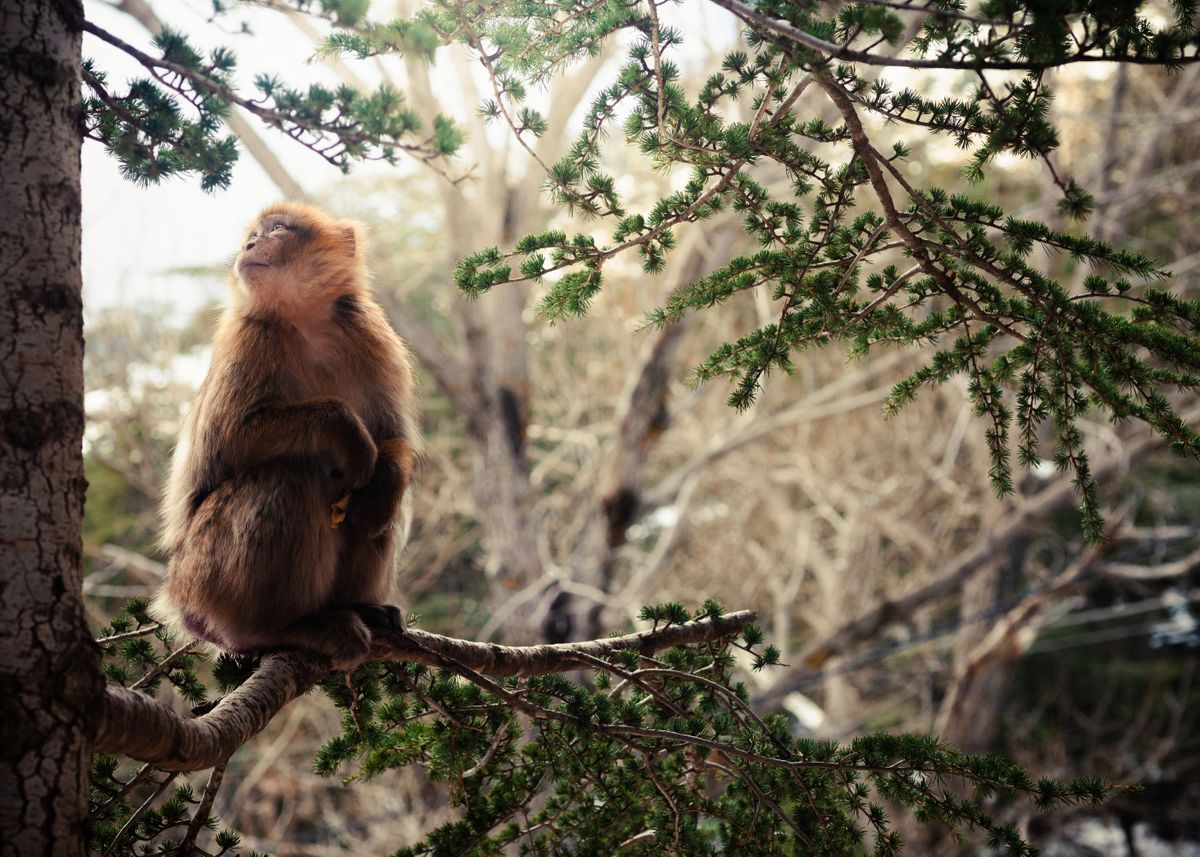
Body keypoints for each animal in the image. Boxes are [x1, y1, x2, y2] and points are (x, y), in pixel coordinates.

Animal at [153, 203, 417, 666]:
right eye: (252, 235)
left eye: (276, 229)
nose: (248, 245)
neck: (305, 321)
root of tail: (180, 599)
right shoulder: (249, 338)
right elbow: (230, 437)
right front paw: (345, 431)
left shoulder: (373, 336)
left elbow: (393, 437)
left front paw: (385, 477)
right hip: (205, 572)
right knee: (291, 474)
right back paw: (284, 627)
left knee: (382, 505)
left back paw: (360, 603)